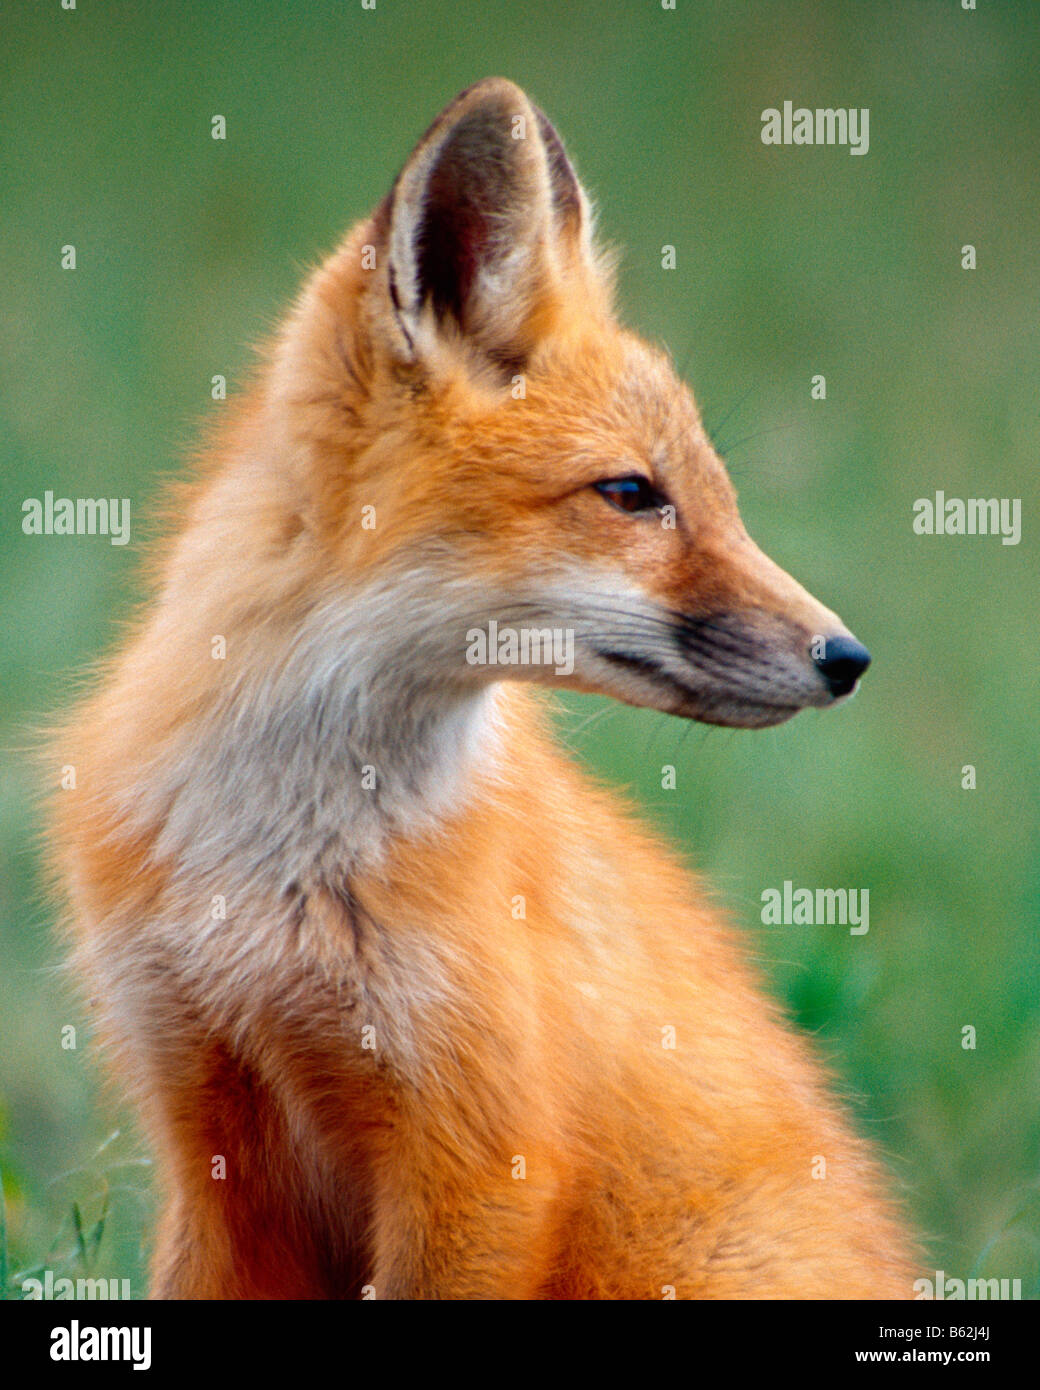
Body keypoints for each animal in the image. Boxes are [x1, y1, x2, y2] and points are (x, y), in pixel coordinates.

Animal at [50, 78, 917, 1300]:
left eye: (719, 496)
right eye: (632, 494)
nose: (846, 658)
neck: (273, 862)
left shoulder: (481, 1159)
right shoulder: (205, 1126)